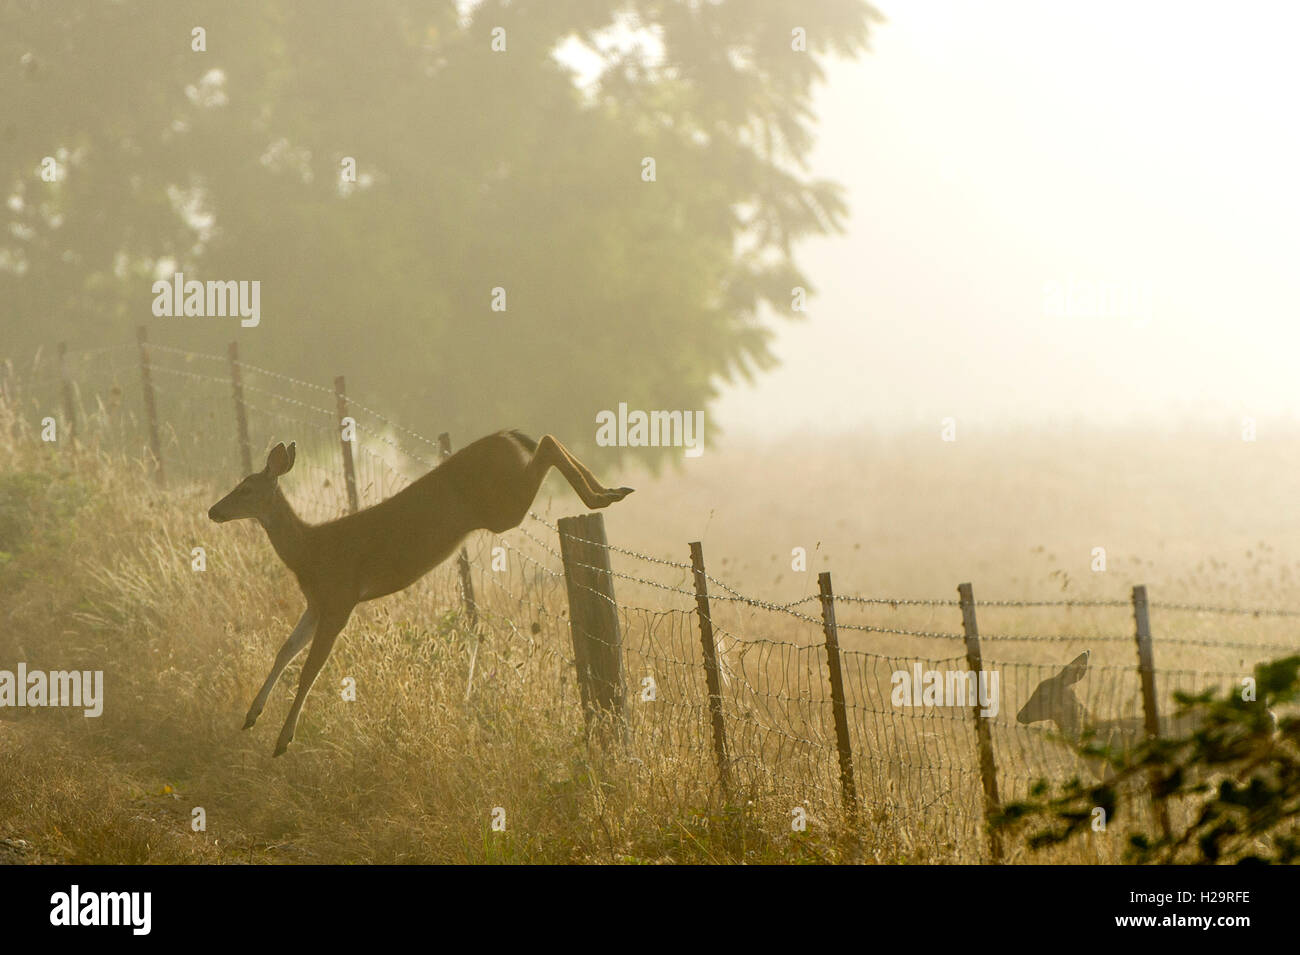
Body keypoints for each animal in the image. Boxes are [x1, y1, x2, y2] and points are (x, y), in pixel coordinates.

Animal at [208, 429, 633, 756]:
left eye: (245, 488)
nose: (214, 511)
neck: (308, 552)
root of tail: (507, 435)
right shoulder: (317, 603)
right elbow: (285, 650)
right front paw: (251, 716)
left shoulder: (340, 599)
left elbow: (310, 669)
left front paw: (283, 741)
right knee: (546, 441)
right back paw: (613, 491)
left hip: (503, 508)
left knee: (545, 444)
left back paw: (601, 495)